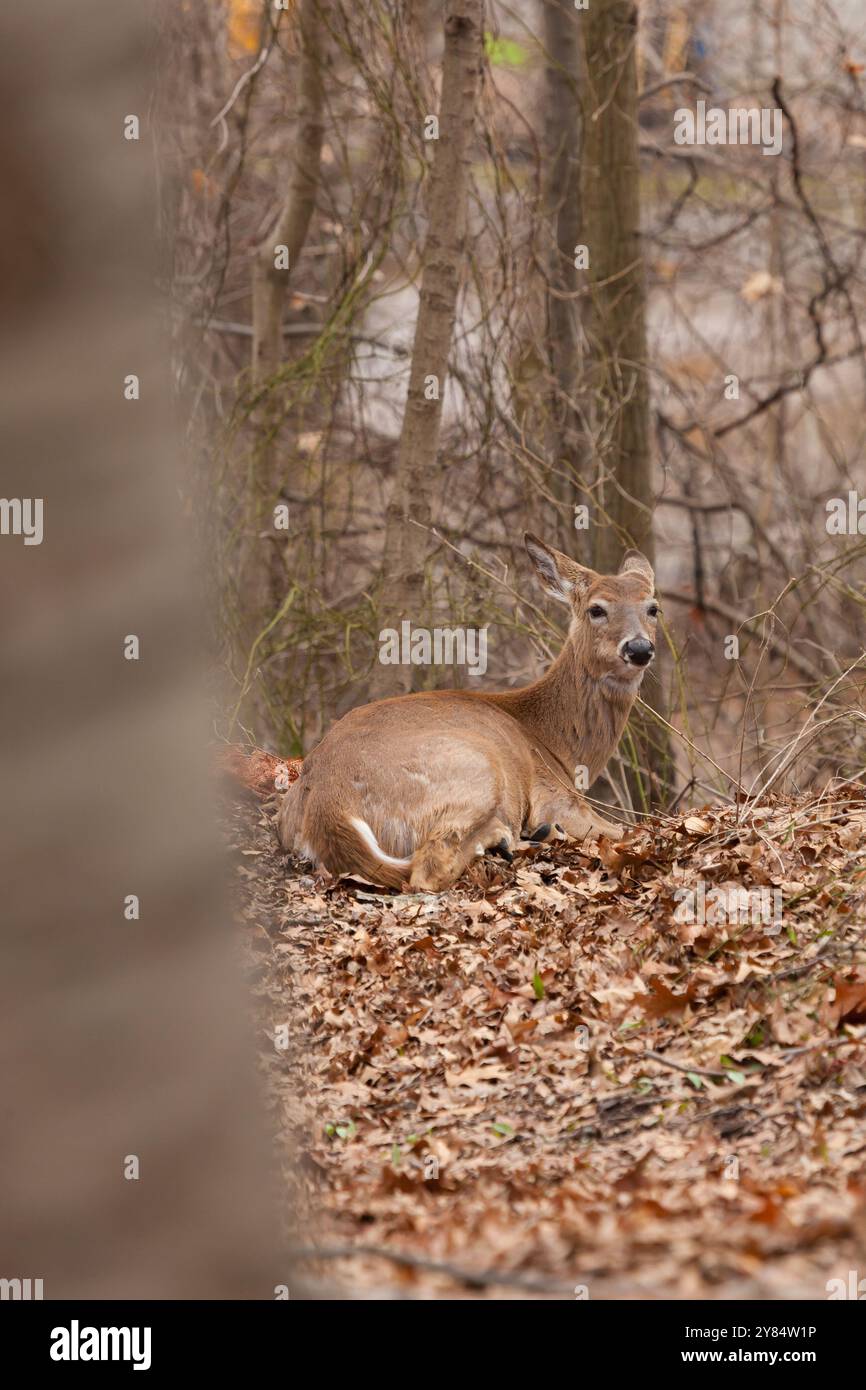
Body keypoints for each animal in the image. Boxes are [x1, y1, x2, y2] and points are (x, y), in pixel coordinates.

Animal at [277, 533, 658, 891]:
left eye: (653, 608)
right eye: (597, 609)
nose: (640, 647)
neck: (555, 743)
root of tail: (328, 806)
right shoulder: (555, 798)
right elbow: (628, 829)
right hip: (475, 767)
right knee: (428, 868)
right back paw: (507, 837)